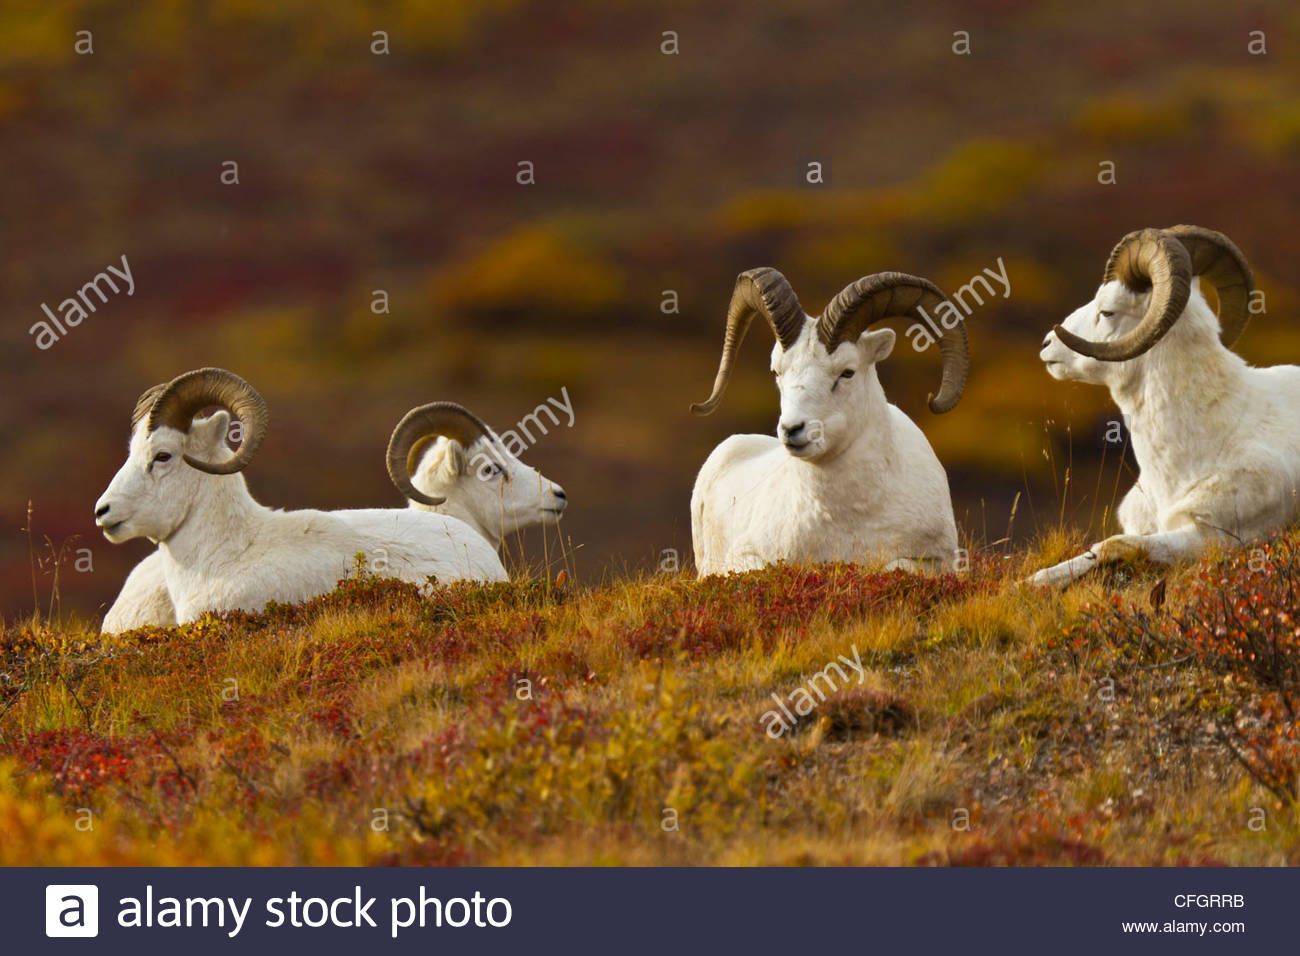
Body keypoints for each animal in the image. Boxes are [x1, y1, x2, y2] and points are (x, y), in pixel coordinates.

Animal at [689, 268, 970, 575]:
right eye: (777, 371)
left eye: (847, 372)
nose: (792, 429)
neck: (847, 520)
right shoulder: (743, 558)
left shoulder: (933, 562)